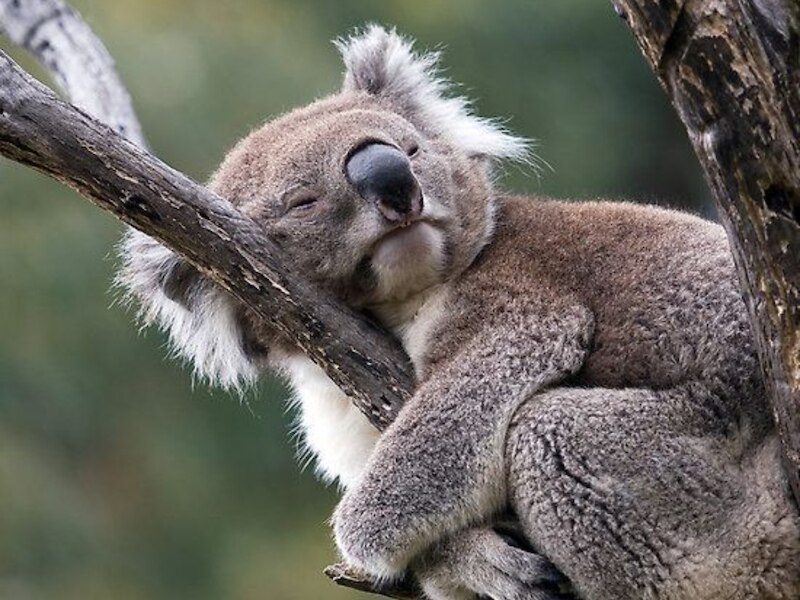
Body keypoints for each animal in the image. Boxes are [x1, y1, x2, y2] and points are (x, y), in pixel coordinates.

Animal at [117, 26, 800, 600]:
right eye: (304, 201)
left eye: (413, 149)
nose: (395, 182)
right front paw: (477, 562)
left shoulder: (521, 302)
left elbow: (469, 394)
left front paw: (362, 535)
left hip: (707, 485)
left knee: (548, 433)